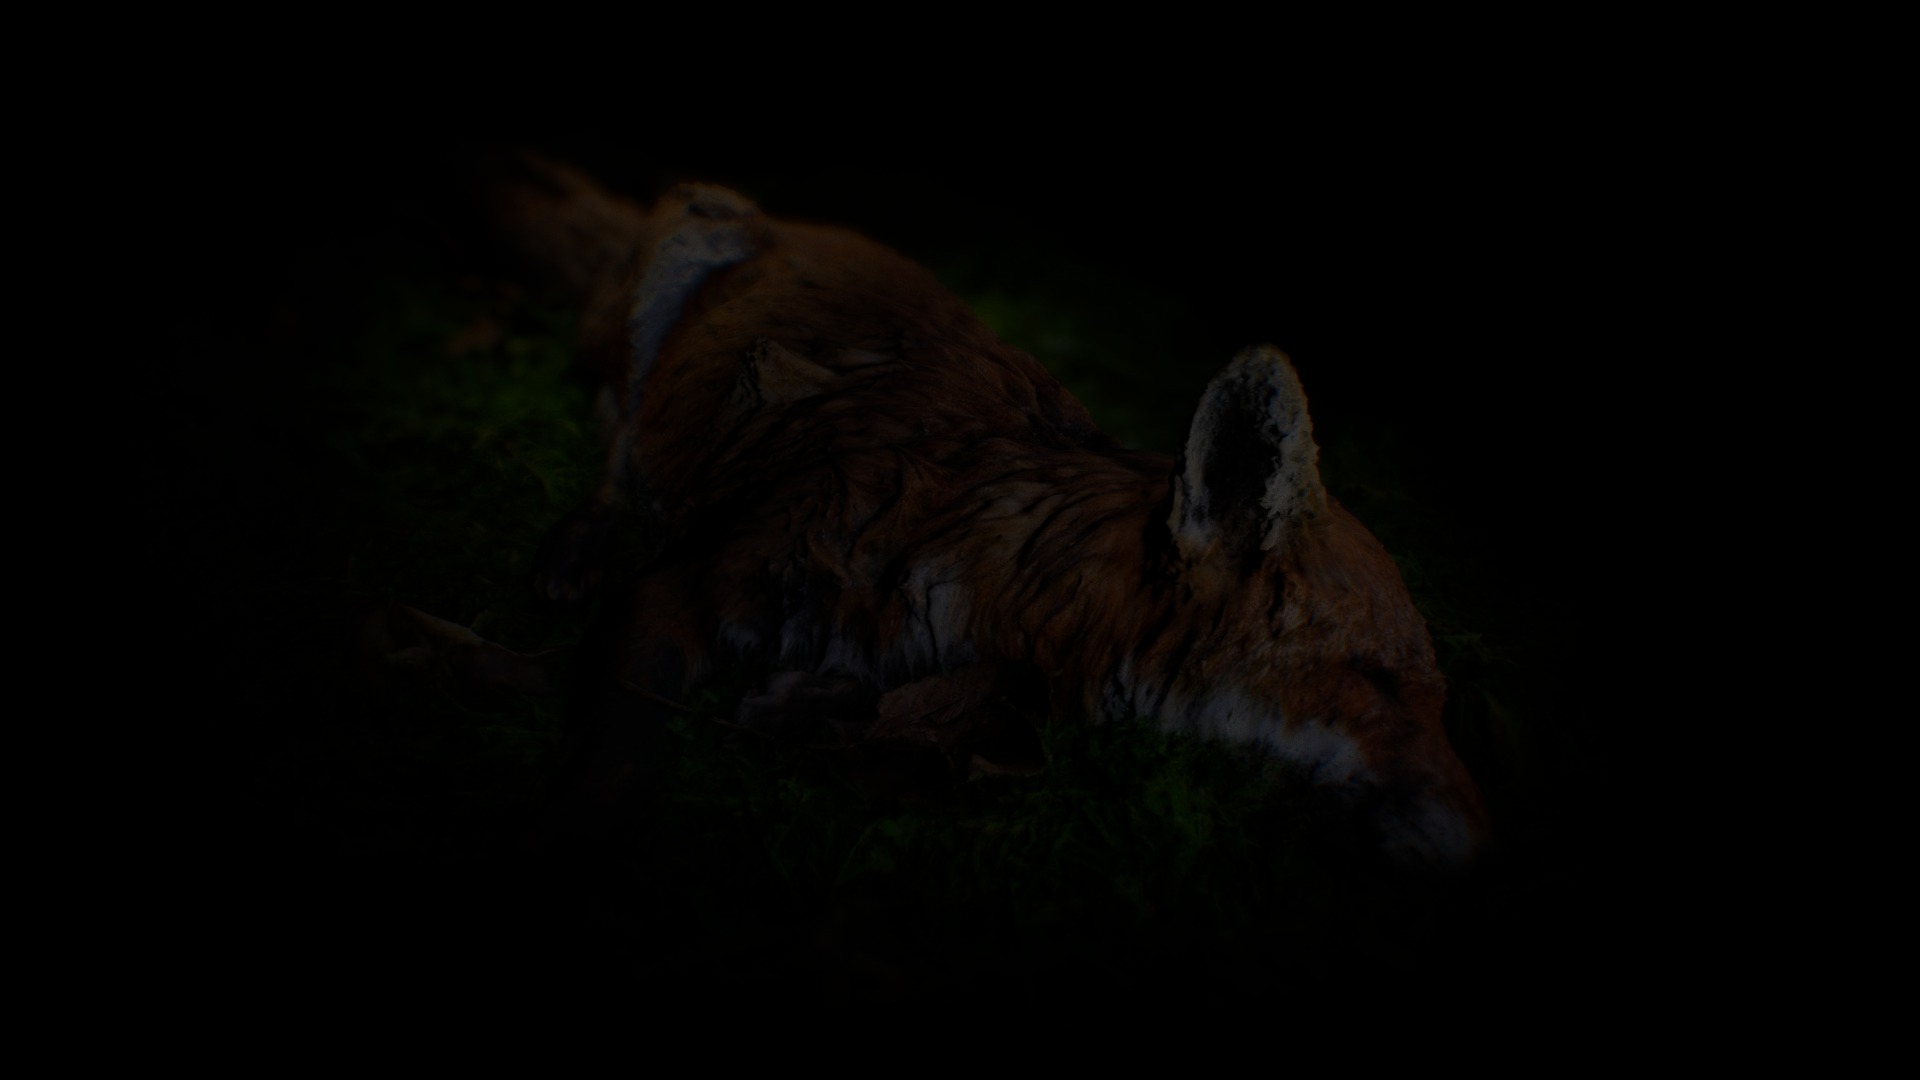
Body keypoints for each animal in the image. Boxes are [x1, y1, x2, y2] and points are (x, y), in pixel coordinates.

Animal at [380, 155, 1489, 869]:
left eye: (1442, 707)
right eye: (1377, 680)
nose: (1483, 846)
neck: (991, 586)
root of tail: (800, 219)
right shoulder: (689, 582)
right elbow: (612, 738)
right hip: (680, 258)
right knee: (615, 441)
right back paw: (574, 553)